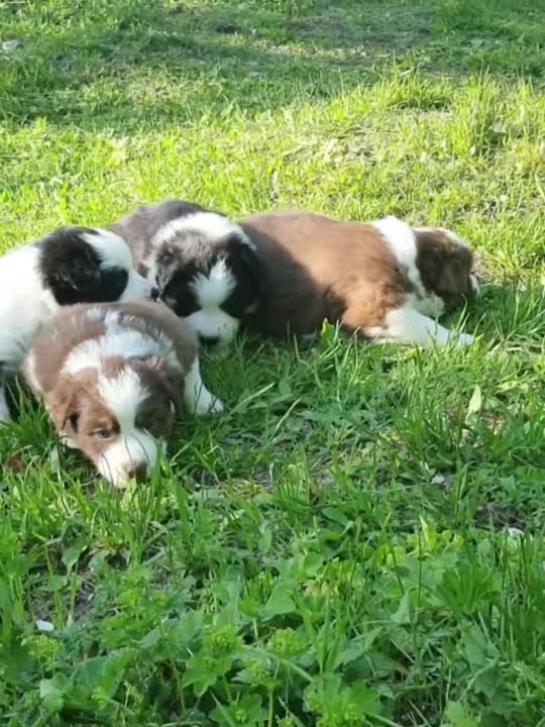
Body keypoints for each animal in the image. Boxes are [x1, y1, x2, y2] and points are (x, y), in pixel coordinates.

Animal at [22, 302, 223, 490]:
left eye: (150, 424)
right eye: (102, 433)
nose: (136, 471)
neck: (108, 355)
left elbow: (191, 374)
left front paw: (205, 403)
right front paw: (69, 436)